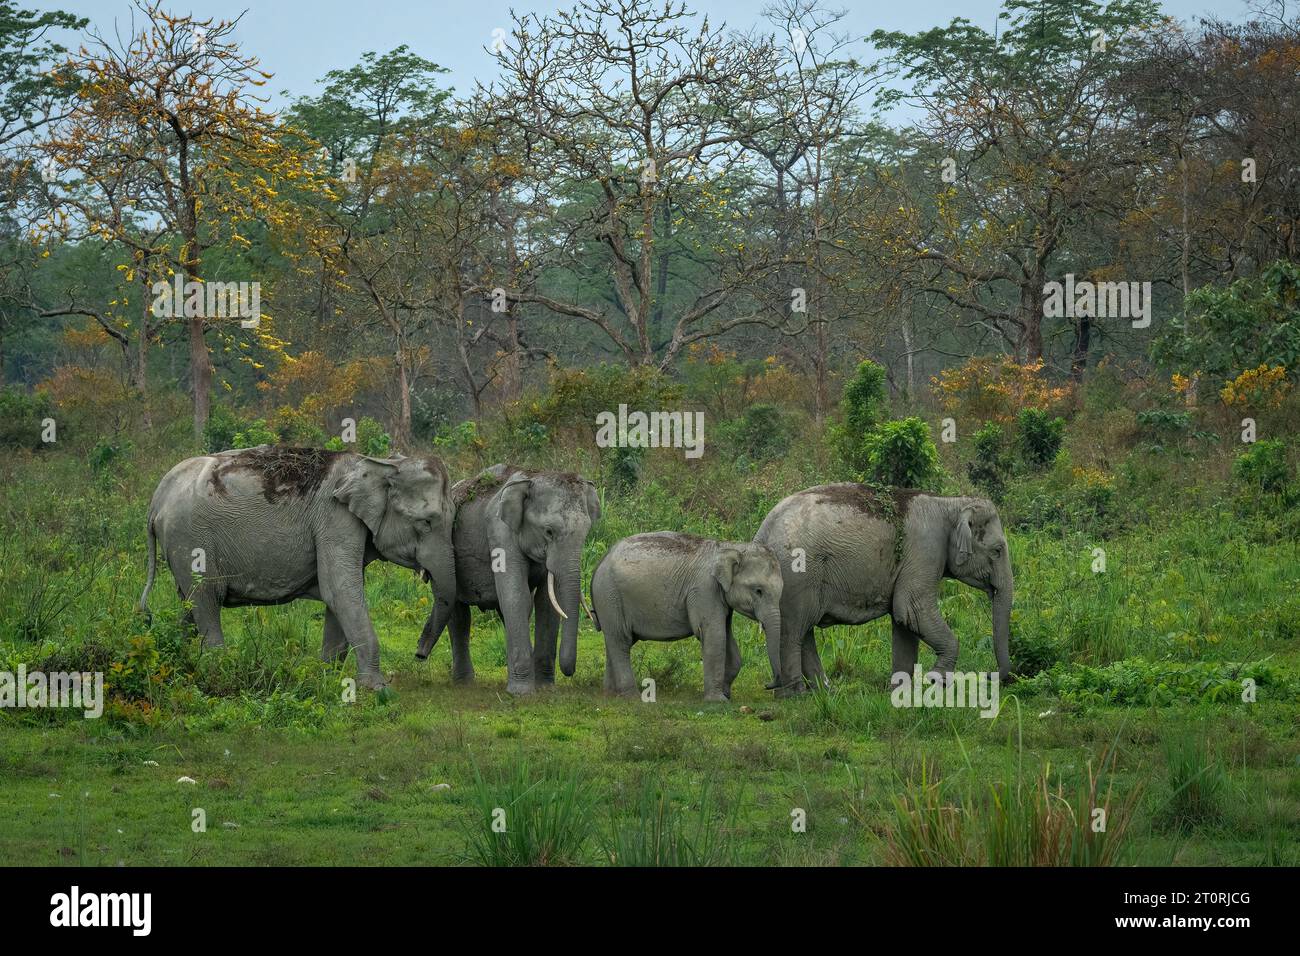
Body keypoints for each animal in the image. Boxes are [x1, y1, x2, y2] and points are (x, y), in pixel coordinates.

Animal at [137, 445, 458, 689]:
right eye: (426, 522)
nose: (419, 654)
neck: (382, 463)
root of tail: (156, 500)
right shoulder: (335, 520)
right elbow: (340, 591)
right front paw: (377, 690)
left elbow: (338, 597)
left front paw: (326, 678)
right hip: (191, 540)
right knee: (206, 599)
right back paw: (218, 670)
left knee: (188, 604)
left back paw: (181, 666)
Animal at [415, 464, 600, 695]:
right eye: (548, 531)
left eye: (586, 533)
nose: (419, 654)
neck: (533, 477)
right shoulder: (500, 531)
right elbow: (516, 597)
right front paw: (522, 694)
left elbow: (546, 604)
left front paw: (545, 689)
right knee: (459, 615)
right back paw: (464, 683)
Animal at [588, 533, 783, 702]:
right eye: (758, 591)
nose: (768, 685)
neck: (730, 546)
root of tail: (600, 562)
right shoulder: (704, 590)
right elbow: (714, 635)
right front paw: (717, 701)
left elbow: (727, 637)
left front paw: (726, 694)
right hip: (609, 596)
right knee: (621, 640)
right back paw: (632, 697)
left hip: (609, 601)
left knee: (613, 640)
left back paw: (611, 694)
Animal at [753, 485, 1014, 697]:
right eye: (998, 551)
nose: (989, 675)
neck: (951, 503)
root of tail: (763, 531)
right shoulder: (926, 550)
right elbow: (912, 609)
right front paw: (935, 680)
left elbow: (904, 620)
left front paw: (901, 692)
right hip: (796, 575)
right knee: (793, 631)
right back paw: (795, 695)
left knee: (803, 631)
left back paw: (824, 692)